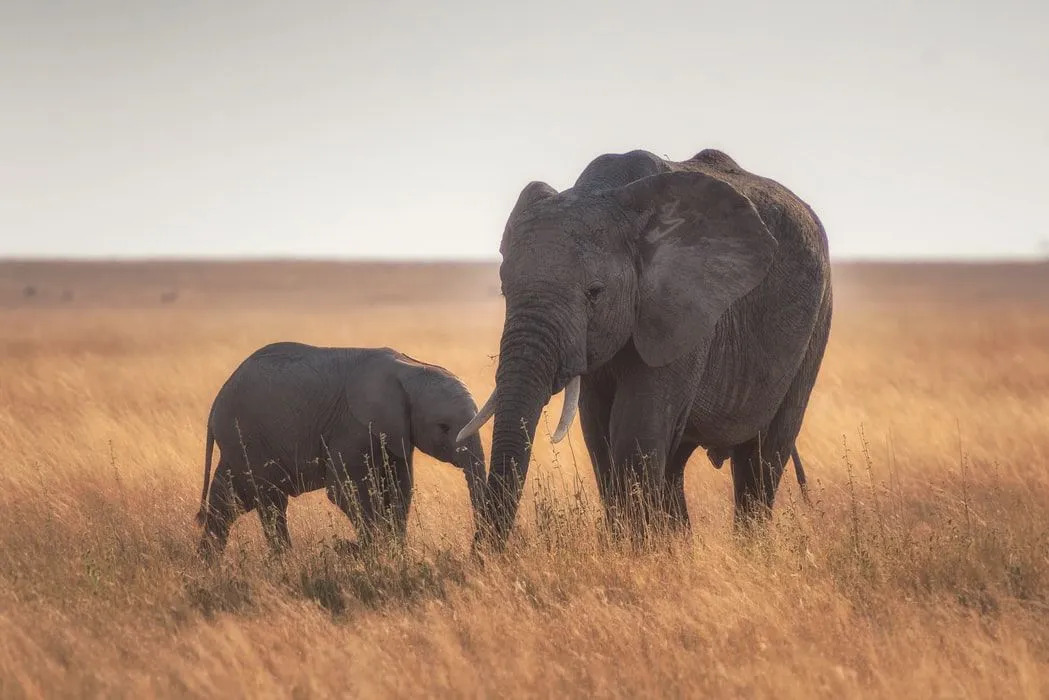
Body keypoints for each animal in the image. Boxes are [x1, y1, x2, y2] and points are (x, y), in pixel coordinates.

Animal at [195, 344, 484, 558]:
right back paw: (285, 561)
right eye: (444, 427)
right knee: (270, 500)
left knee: (228, 500)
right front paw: (371, 553)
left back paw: (209, 563)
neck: (409, 368)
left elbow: (400, 487)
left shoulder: (396, 433)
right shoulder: (352, 426)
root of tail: (215, 404)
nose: (475, 551)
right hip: (248, 437)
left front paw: (395, 553)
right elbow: (345, 490)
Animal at [463, 146, 830, 541]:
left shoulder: (683, 309)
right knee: (676, 463)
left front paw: (636, 549)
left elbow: (635, 431)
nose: (485, 553)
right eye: (505, 290)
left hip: (816, 323)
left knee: (762, 458)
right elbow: (599, 434)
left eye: (594, 293)